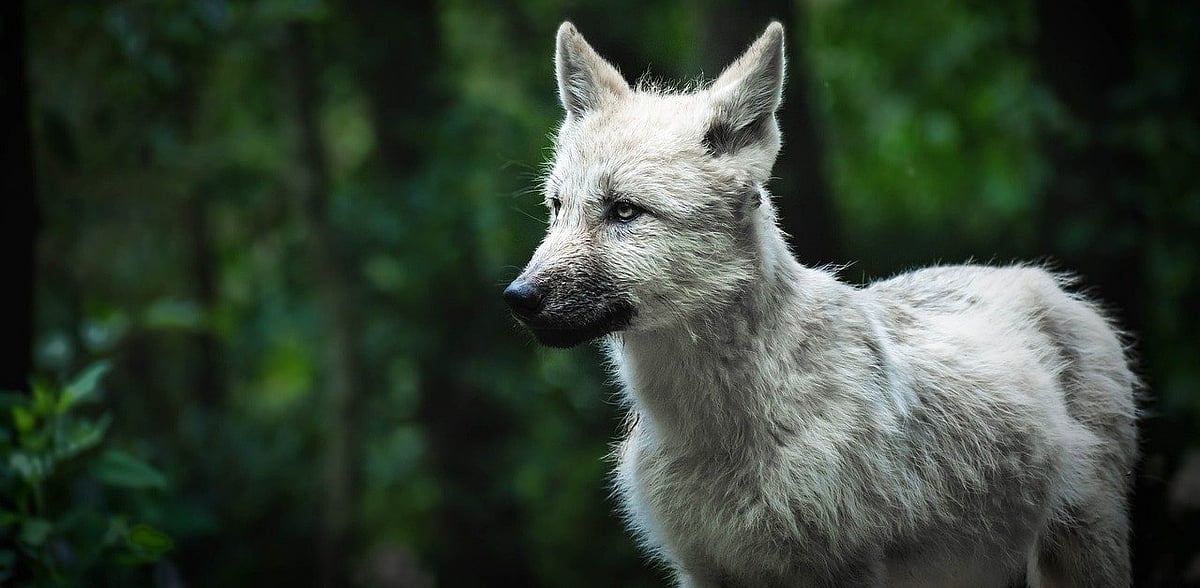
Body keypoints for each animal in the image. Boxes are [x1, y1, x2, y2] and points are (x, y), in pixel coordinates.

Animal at [503, 21, 1138, 588]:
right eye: (557, 208)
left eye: (625, 211)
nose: (517, 298)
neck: (717, 426)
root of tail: (1051, 282)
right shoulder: (703, 573)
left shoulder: (840, 571)